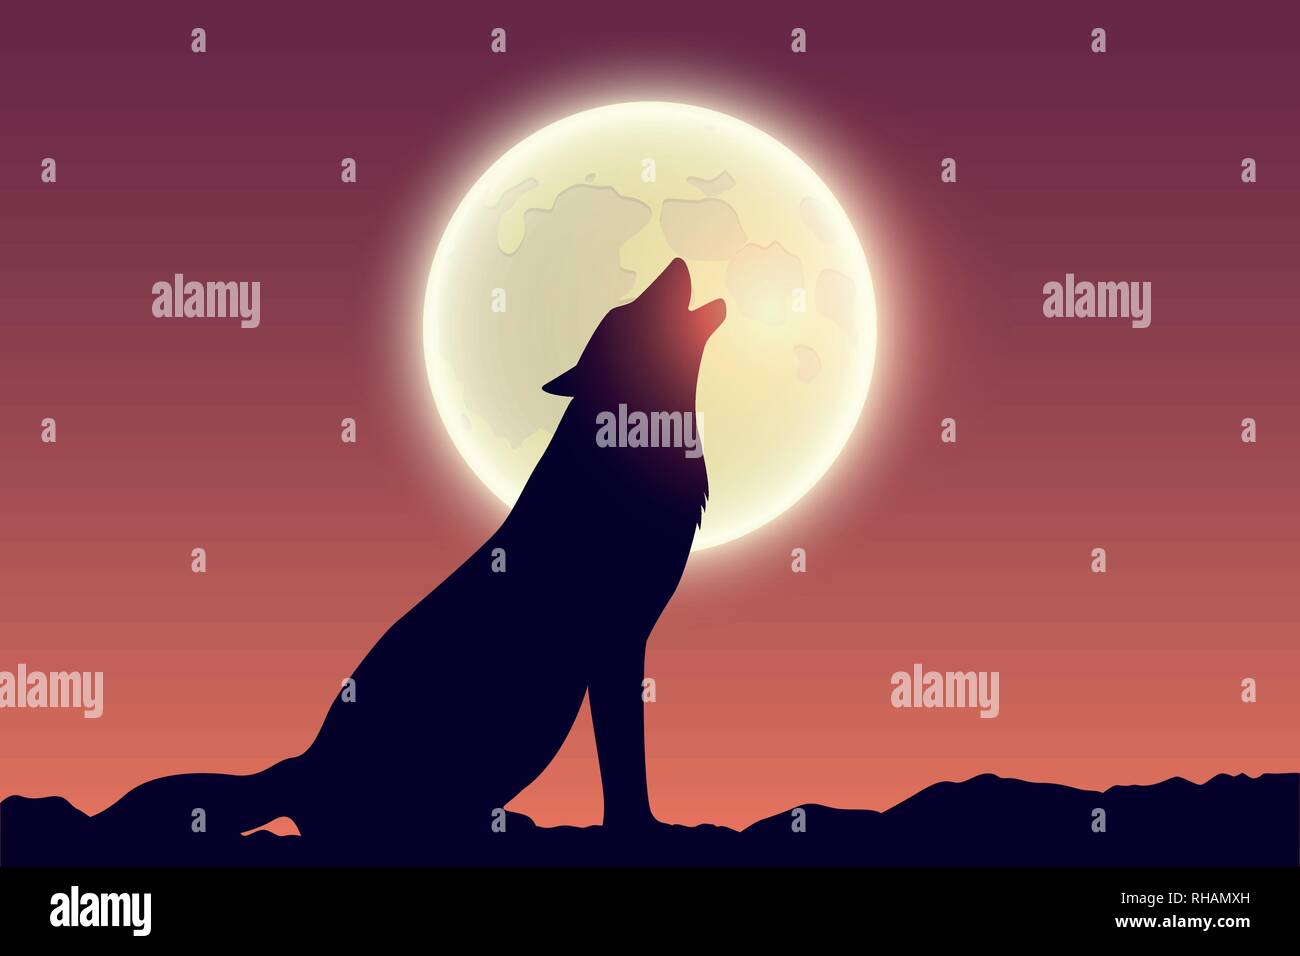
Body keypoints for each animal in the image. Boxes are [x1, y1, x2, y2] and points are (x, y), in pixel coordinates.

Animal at [22, 258, 724, 863]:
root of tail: (300, 767)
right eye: (630, 311)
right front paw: (644, 833)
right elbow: (624, 761)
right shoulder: (614, 643)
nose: (676, 262)